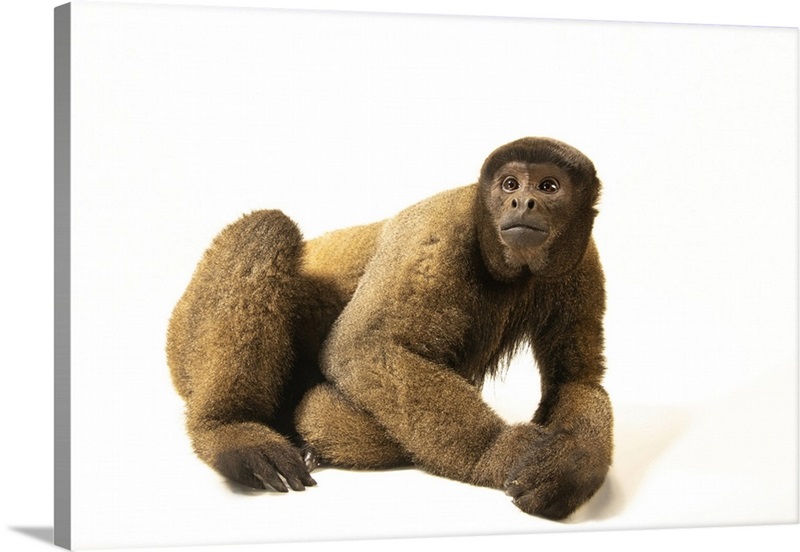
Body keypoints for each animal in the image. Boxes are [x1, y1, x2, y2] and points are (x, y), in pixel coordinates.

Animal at [166, 137, 612, 520]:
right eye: (510, 184)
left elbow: (576, 381)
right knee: (266, 227)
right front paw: (501, 451)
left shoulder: (584, 259)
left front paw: (570, 467)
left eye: (549, 186)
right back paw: (231, 431)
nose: (523, 201)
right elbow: (362, 346)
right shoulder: (438, 228)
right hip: (187, 337)